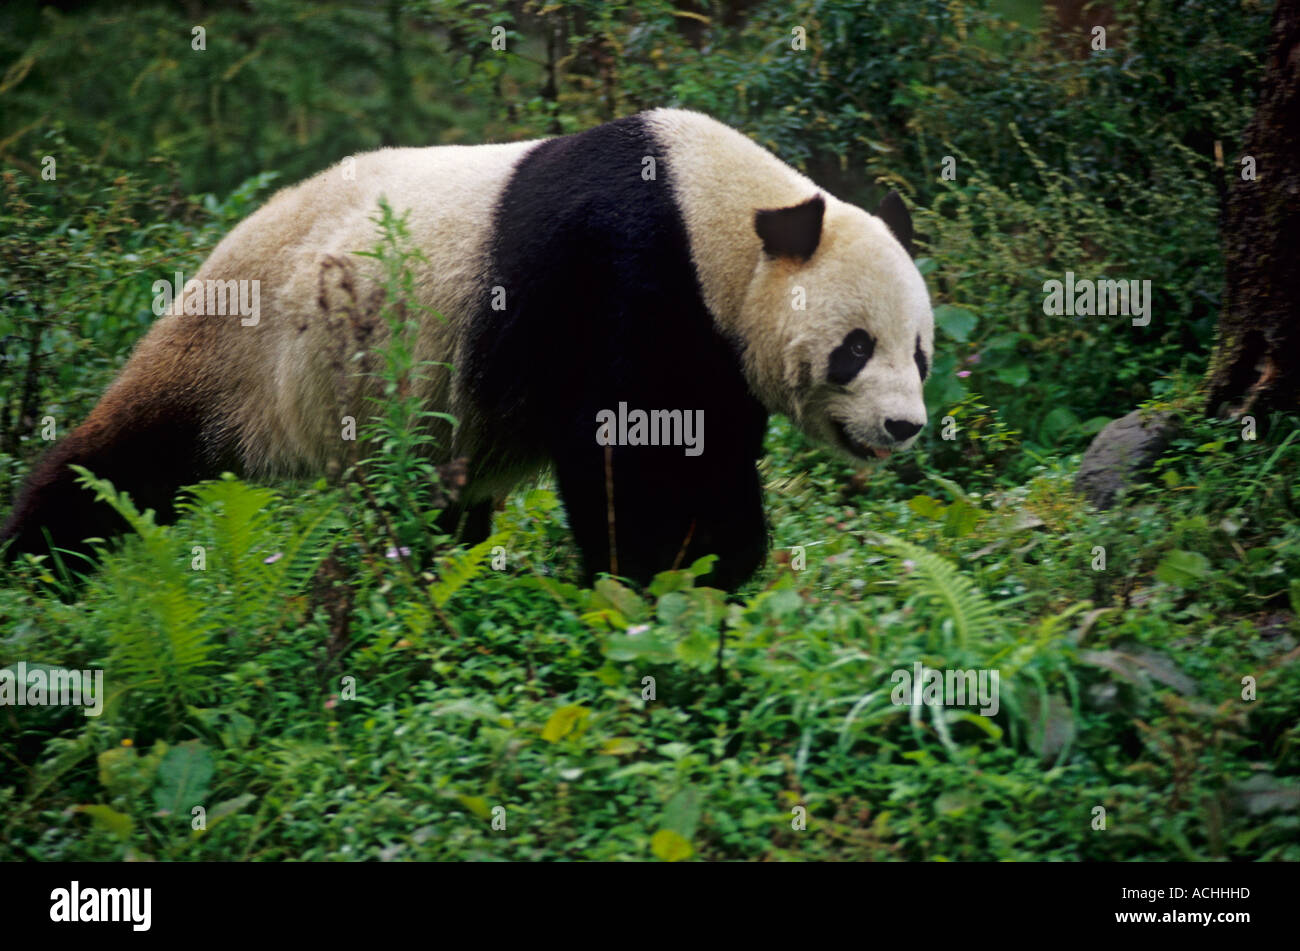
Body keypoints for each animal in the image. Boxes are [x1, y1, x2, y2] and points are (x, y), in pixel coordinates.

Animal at [0, 109, 934, 590]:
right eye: (856, 347)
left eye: (921, 353)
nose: (904, 427)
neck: (720, 214)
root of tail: (227, 236)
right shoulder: (624, 266)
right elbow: (634, 448)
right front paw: (670, 575)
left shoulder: (714, 337)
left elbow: (712, 443)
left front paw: (723, 569)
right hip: (239, 344)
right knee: (128, 458)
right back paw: (40, 568)